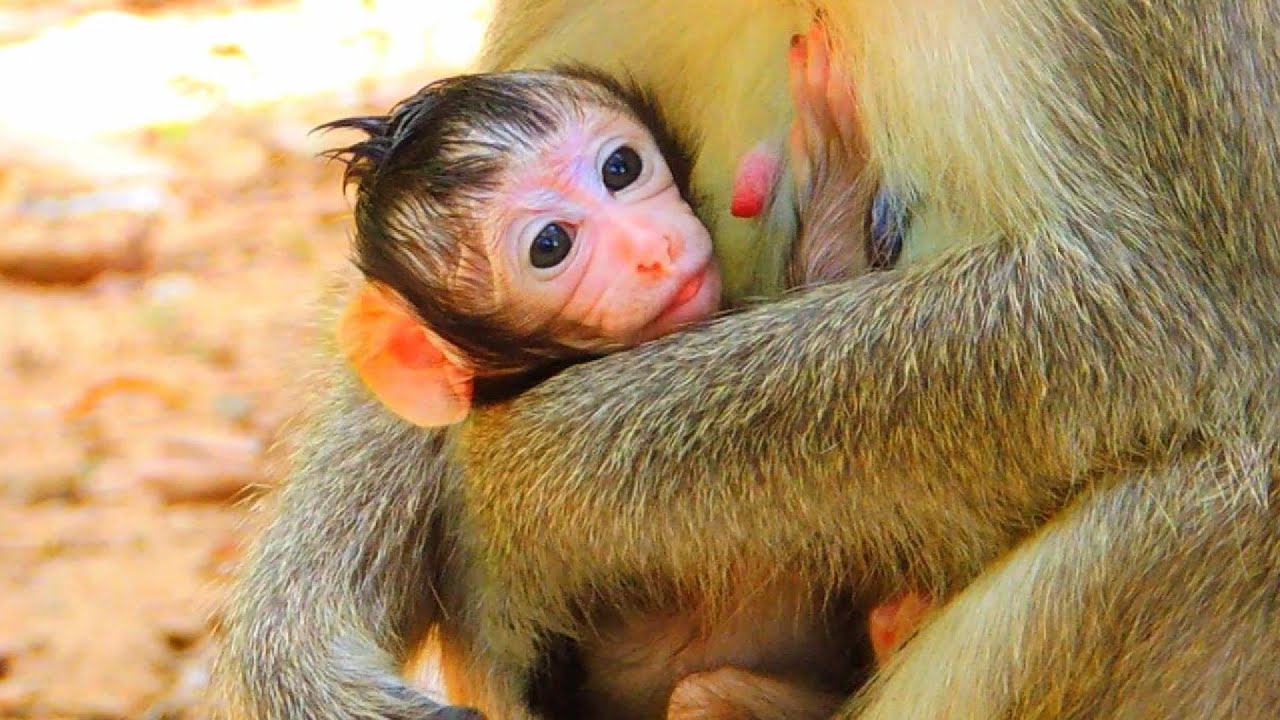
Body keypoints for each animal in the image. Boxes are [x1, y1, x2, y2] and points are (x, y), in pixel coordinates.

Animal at [215, 1, 1280, 719]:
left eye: (622, 168)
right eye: (550, 246)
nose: (650, 252)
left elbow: (1155, 309)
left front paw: (513, 493)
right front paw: (297, 646)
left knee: (1229, 493)